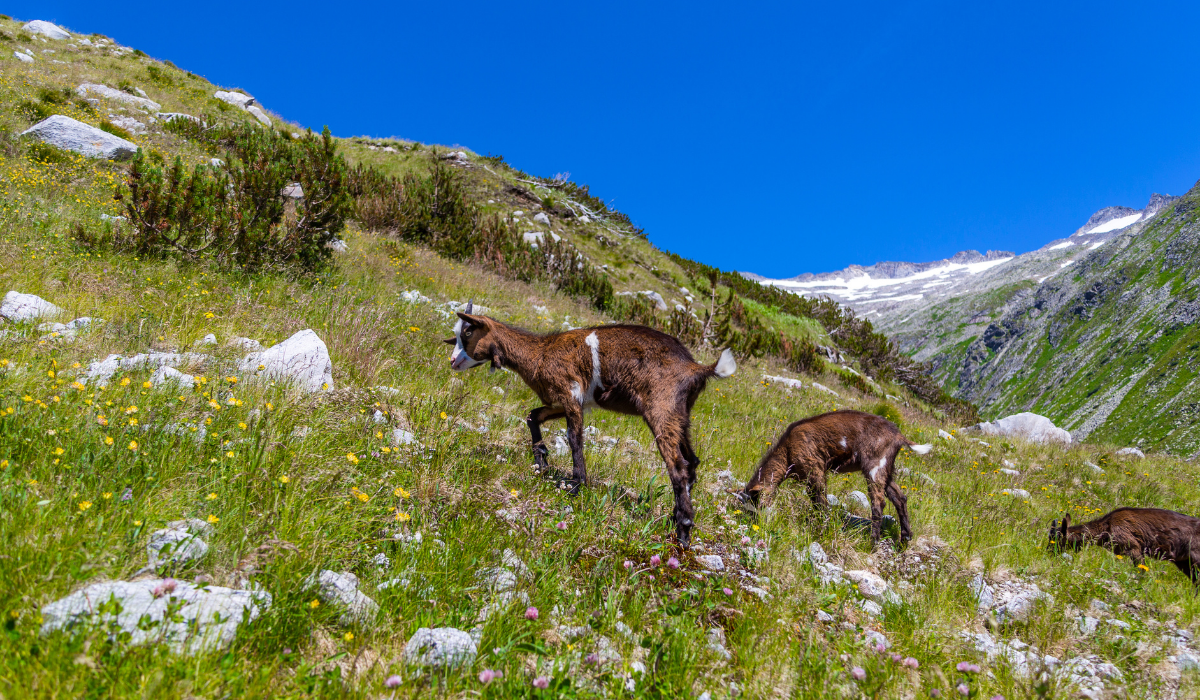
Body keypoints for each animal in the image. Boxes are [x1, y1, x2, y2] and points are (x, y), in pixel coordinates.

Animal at [444, 303, 737, 547]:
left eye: (468, 331)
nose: (453, 361)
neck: (540, 352)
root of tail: (696, 368)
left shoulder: (570, 394)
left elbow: (575, 438)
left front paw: (575, 485)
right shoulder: (561, 402)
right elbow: (532, 416)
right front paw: (541, 462)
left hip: (661, 410)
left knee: (678, 467)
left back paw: (683, 531)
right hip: (680, 415)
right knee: (692, 462)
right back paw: (675, 518)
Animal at [736, 410, 931, 543]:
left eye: (757, 504)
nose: (758, 524)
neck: (787, 452)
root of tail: (899, 436)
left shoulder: (815, 469)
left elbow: (821, 501)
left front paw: (821, 528)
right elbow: (815, 501)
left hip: (875, 464)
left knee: (879, 502)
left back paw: (873, 541)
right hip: (887, 469)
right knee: (900, 498)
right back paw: (905, 539)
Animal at [1049, 508, 1200, 583]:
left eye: (1055, 539)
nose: (1049, 552)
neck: (1106, 528)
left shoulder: (1134, 547)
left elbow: (1141, 570)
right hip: (1184, 562)